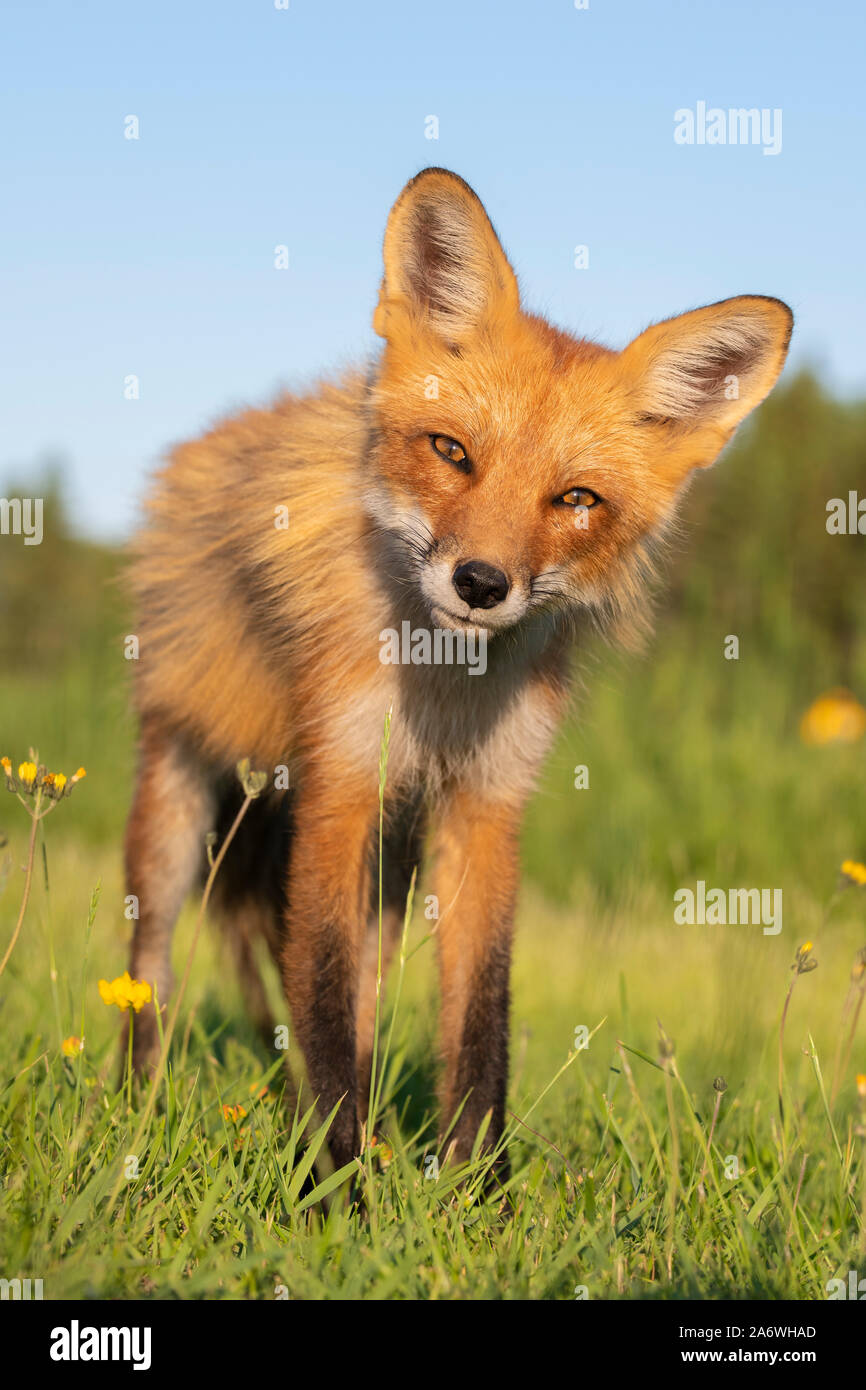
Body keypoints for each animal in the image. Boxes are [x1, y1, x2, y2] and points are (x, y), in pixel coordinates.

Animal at [125, 167, 792, 1174]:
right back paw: (129, 1105)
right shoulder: (339, 787)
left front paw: (477, 1186)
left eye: (575, 500)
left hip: (394, 863)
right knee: (151, 974)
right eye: (452, 452)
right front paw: (337, 1187)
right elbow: (322, 1015)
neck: (442, 689)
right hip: (180, 801)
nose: (480, 583)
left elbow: (479, 1020)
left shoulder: (487, 806)